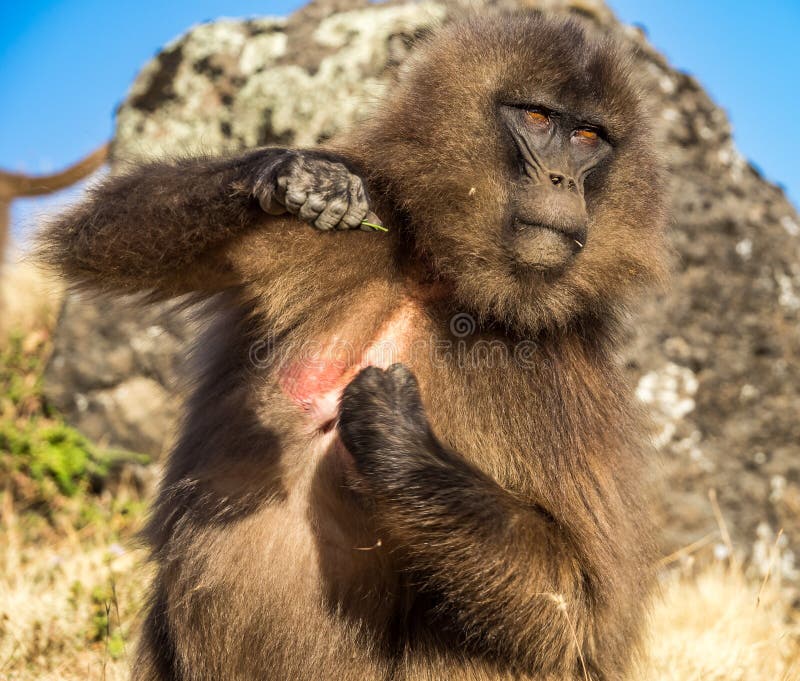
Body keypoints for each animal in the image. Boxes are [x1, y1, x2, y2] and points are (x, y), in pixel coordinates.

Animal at [38, 12, 668, 681]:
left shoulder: (568, 373)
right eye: (540, 119)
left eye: (590, 137)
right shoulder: (368, 219)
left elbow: (580, 612)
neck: (444, 279)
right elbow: (99, 234)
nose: (563, 181)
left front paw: (394, 435)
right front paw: (291, 173)